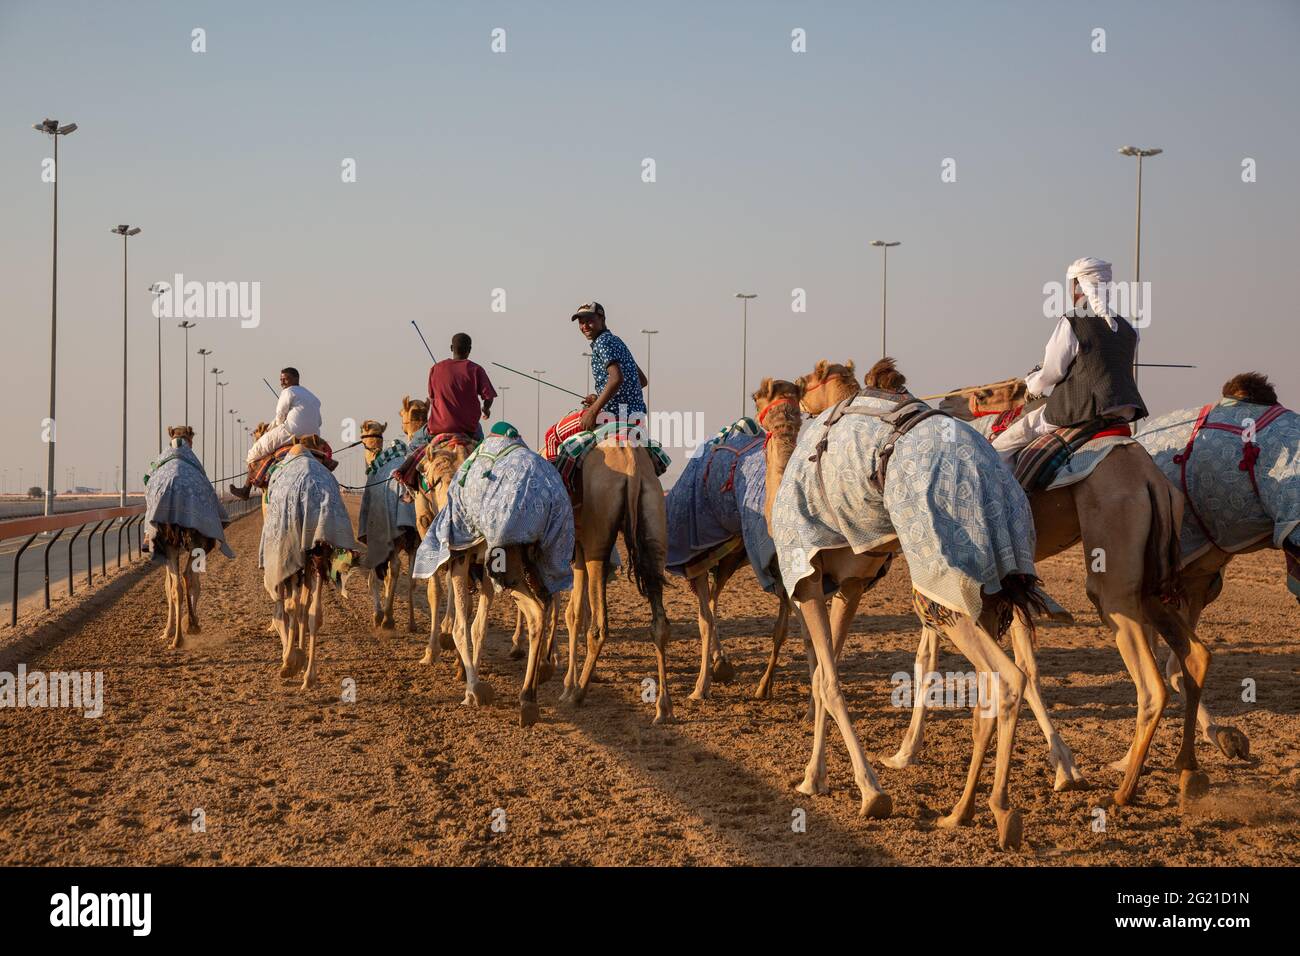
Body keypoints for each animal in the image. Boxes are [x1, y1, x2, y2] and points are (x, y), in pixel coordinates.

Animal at [358, 419, 419, 631]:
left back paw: (388, 620)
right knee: (411, 575)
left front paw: (378, 614)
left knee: (395, 567)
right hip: (414, 537)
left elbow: (375, 576)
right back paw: (411, 623)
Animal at [558, 438, 674, 724]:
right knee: (660, 624)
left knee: (599, 627)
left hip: (597, 541)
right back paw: (663, 707)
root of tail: (631, 462)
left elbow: (574, 613)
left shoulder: (579, 548)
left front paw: (567, 687)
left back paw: (578, 694)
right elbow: (578, 611)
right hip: (654, 520)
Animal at [765, 361, 1055, 849]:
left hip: (946, 574)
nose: (794, 399)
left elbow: (828, 679)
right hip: (992, 583)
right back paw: (959, 813)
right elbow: (825, 674)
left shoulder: (806, 575)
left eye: (800, 385)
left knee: (1007, 677)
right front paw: (814, 778)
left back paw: (1000, 811)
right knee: (990, 687)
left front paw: (868, 792)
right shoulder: (851, 583)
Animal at [848, 361, 1213, 805]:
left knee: (1151, 682)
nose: (950, 400)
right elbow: (1025, 665)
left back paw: (1124, 791)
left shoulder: (949, 575)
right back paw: (1187, 769)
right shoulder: (1008, 583)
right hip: (1149, 574)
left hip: (1112, 578)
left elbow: (930, 659)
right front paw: (1064, 768)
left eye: (985, 393)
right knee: (1195, 655)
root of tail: (1151, 480)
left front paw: (903, 754)